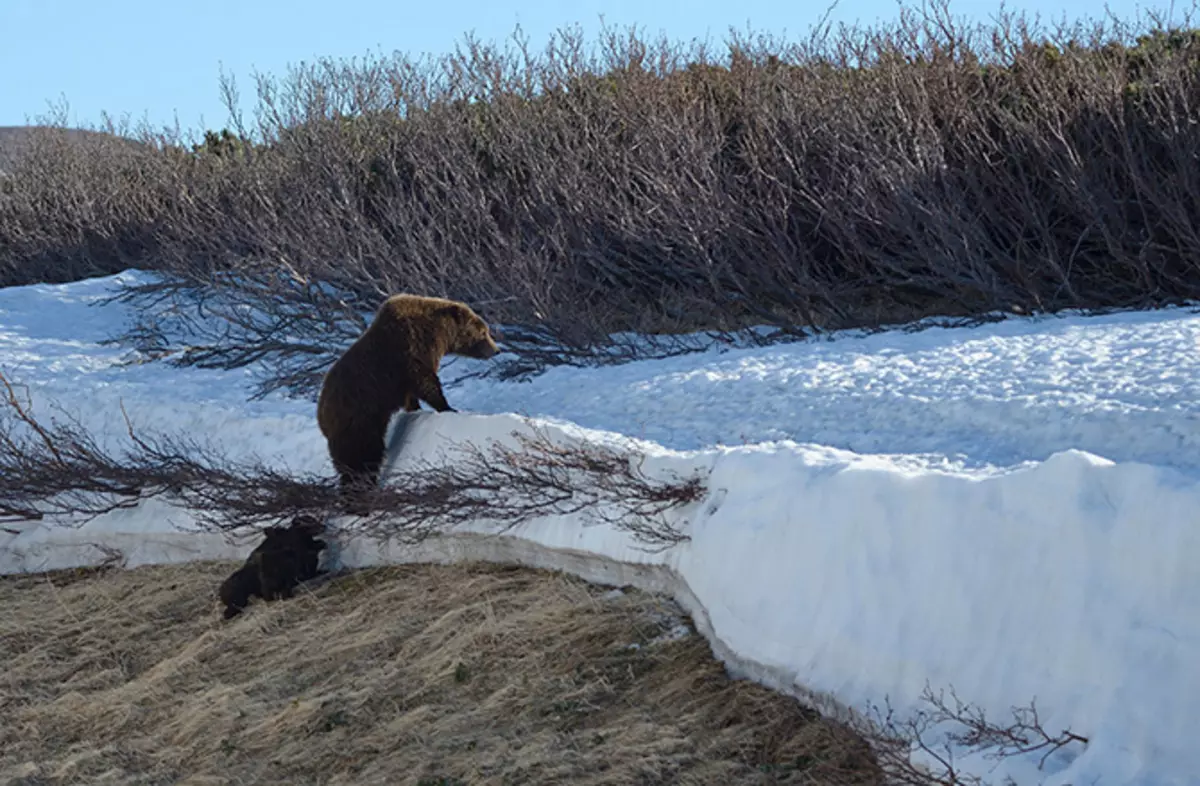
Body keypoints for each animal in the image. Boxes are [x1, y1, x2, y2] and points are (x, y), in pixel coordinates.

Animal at [316, 291, 499, 494]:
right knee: (364, 456)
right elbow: (426, 381)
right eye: (483, 332)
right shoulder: (411, 350)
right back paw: (362, 485)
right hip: (359, 419)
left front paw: (416, 408)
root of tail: (321, 414)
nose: (496, 350)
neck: (439, 333)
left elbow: (412, 392)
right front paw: (448, 407)